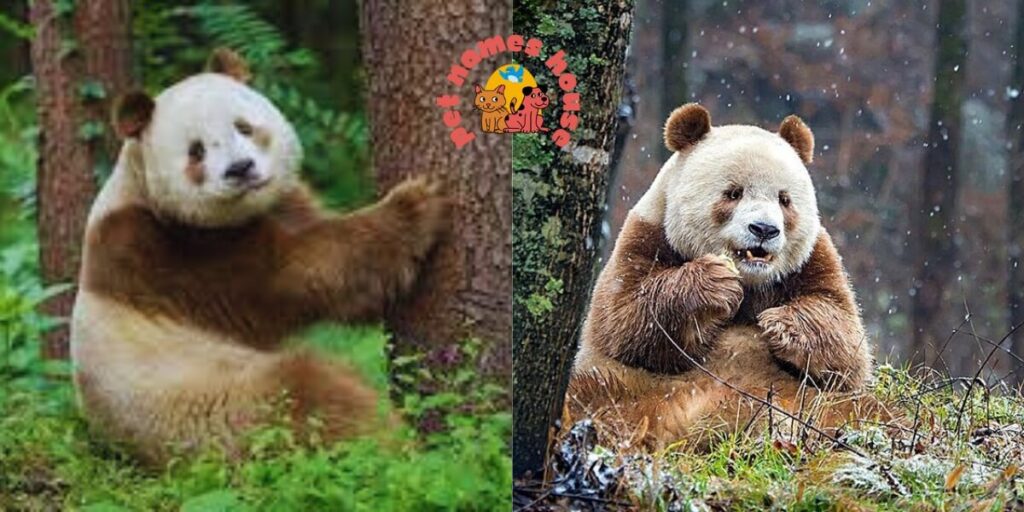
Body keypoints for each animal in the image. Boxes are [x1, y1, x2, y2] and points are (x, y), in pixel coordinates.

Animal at [70, 48, 448, 464]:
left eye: (244, 127)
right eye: (196, 150)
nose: (241, 169)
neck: (138, 187)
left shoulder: (281, 205)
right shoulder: (164, 254)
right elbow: (293, 275)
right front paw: (414, 206)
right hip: (215, 405)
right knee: (308, 397)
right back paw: (397, 445)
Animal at [567, 103, 879, 448]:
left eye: (784, 199)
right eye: (733, 193)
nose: (764, 229)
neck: (752, 280)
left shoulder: (813, 259)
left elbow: (845, 341)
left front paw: (780, 325)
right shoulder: (646, 237)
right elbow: (625, 320)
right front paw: (714, 285)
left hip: (815, 402)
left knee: (870, 411)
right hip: (632, 387)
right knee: (588, 395)